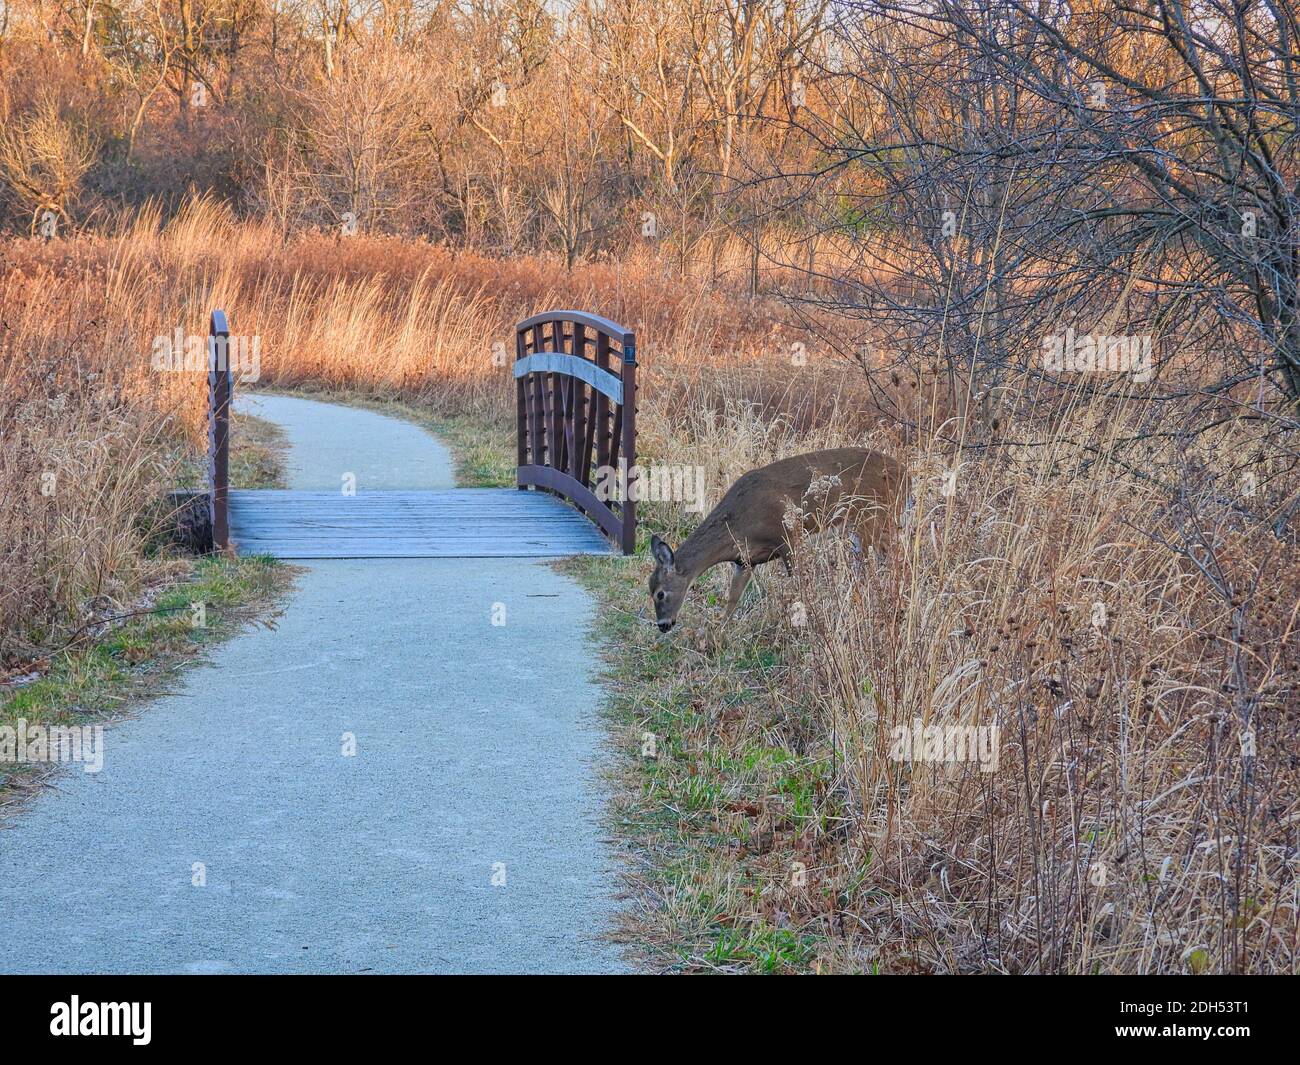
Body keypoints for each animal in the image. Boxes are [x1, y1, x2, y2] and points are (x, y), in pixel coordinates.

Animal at [648, 447, 910, 633]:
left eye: (660, 593)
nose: (663, 625)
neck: (738, 523)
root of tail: (906, 474)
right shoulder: (744, 560)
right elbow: (733, 598)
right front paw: (717, 632)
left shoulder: (789, 535)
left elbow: (802, 586)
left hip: (874, 517)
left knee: (895, 559)